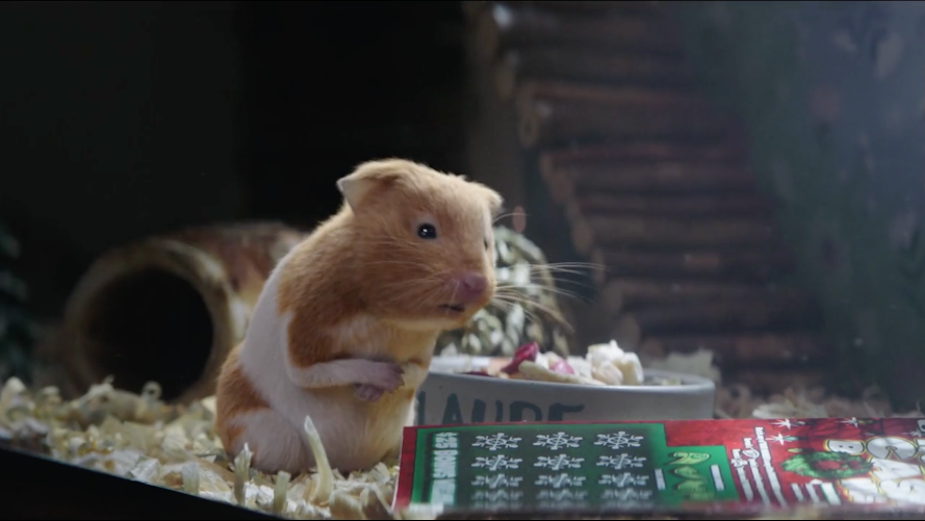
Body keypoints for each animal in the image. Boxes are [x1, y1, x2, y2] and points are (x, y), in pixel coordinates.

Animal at [214, 158, 504, 475]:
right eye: (426, 231)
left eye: (486, 242)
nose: (478, 283)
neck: (387, 318)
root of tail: (349, 465)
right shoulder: (301, 335)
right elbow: (317, 371)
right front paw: (379, 381)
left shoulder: (423, 354)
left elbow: (414, 372)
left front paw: (380, 387)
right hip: (272, 436)